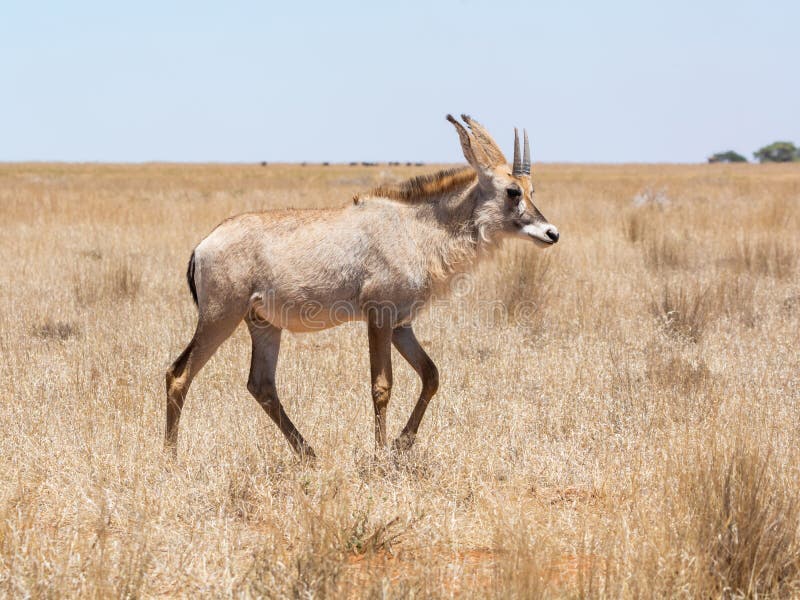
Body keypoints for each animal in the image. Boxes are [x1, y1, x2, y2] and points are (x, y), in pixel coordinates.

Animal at [165, 115, 559, 458]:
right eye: (512, 191)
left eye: (532, 189)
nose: (551, 233)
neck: (416, 229)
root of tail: (203, 245)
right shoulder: (379, 317)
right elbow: (382, 386)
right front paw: (381, 452)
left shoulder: (401, 325)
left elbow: (431, 375)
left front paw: (402, 443)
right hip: (220, 317)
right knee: (178, 375)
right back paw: (170, 458)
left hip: (262, 324)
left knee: (261, 385)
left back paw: (309, 454)